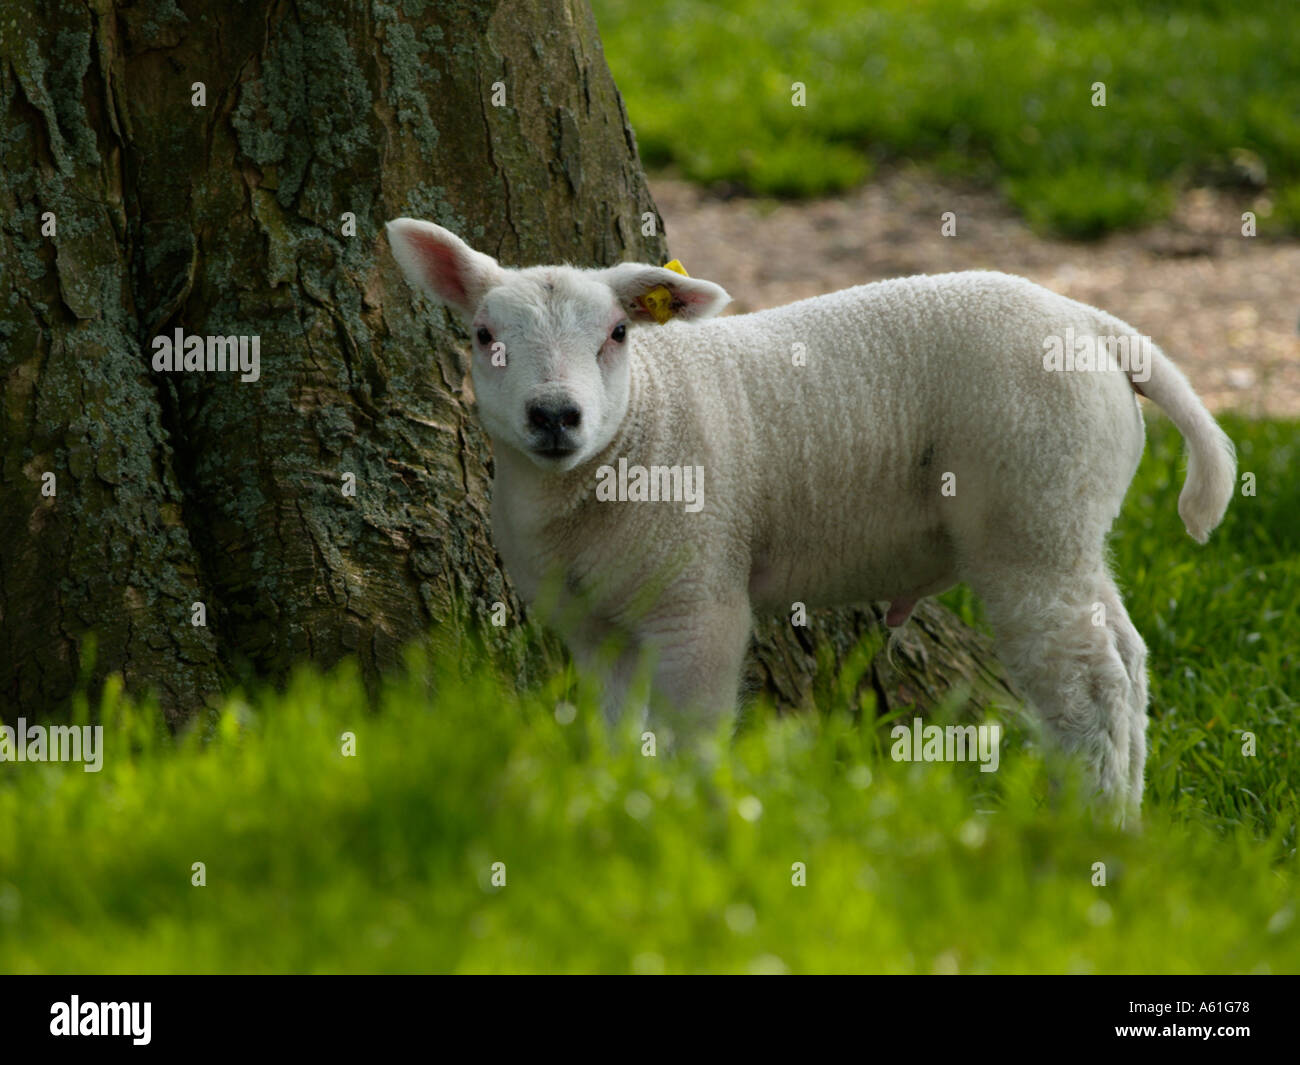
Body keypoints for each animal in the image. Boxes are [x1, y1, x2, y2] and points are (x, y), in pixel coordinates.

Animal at [386, 217, 1236, 814]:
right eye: (483, 336)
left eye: (619, 334)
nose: (555, 416)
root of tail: (1099, 326)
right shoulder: (591, 620)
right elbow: (621, 727)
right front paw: (624, 804)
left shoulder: (700, 600)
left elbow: (690, 730)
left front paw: (685, 820)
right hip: (1071, 517)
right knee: (1125, 653)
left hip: (1034, 512)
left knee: (1090, 683)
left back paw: (1092, 831)